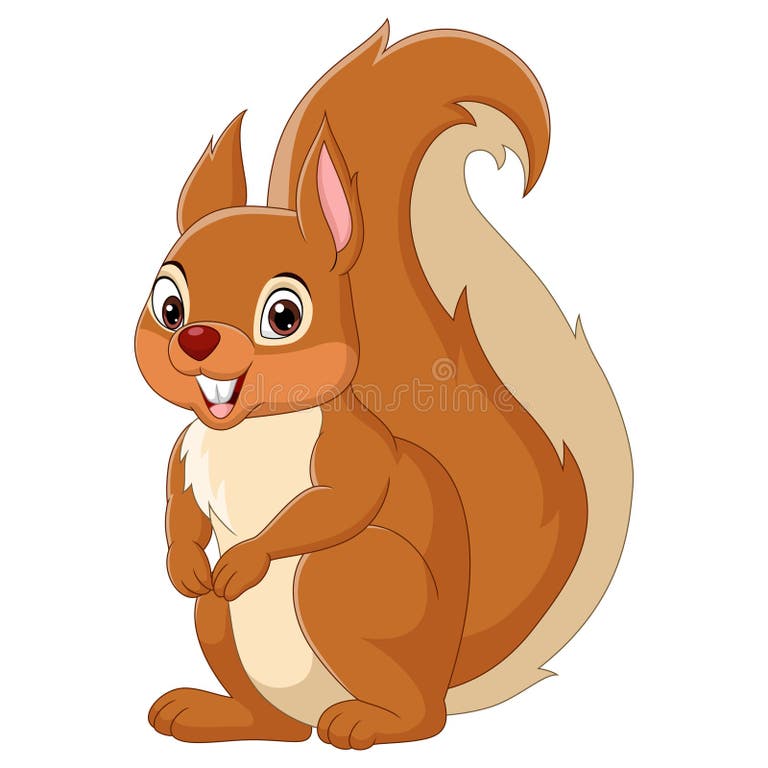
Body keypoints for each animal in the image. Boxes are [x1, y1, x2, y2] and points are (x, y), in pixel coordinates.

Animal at [135, 22, 632, 750]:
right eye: (168, 305)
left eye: (284, 315)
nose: (195, 340)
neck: (251, 431)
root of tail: (444, 672)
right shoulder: (184, 452)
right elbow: (178, 509)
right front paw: (185, 564)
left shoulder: (353, 449)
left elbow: (340, 503)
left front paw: (247, 559)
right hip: (216, 623)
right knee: (277, 724)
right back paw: (214, 712)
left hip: (345, 583)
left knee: (419, 717)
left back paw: (366, 722)